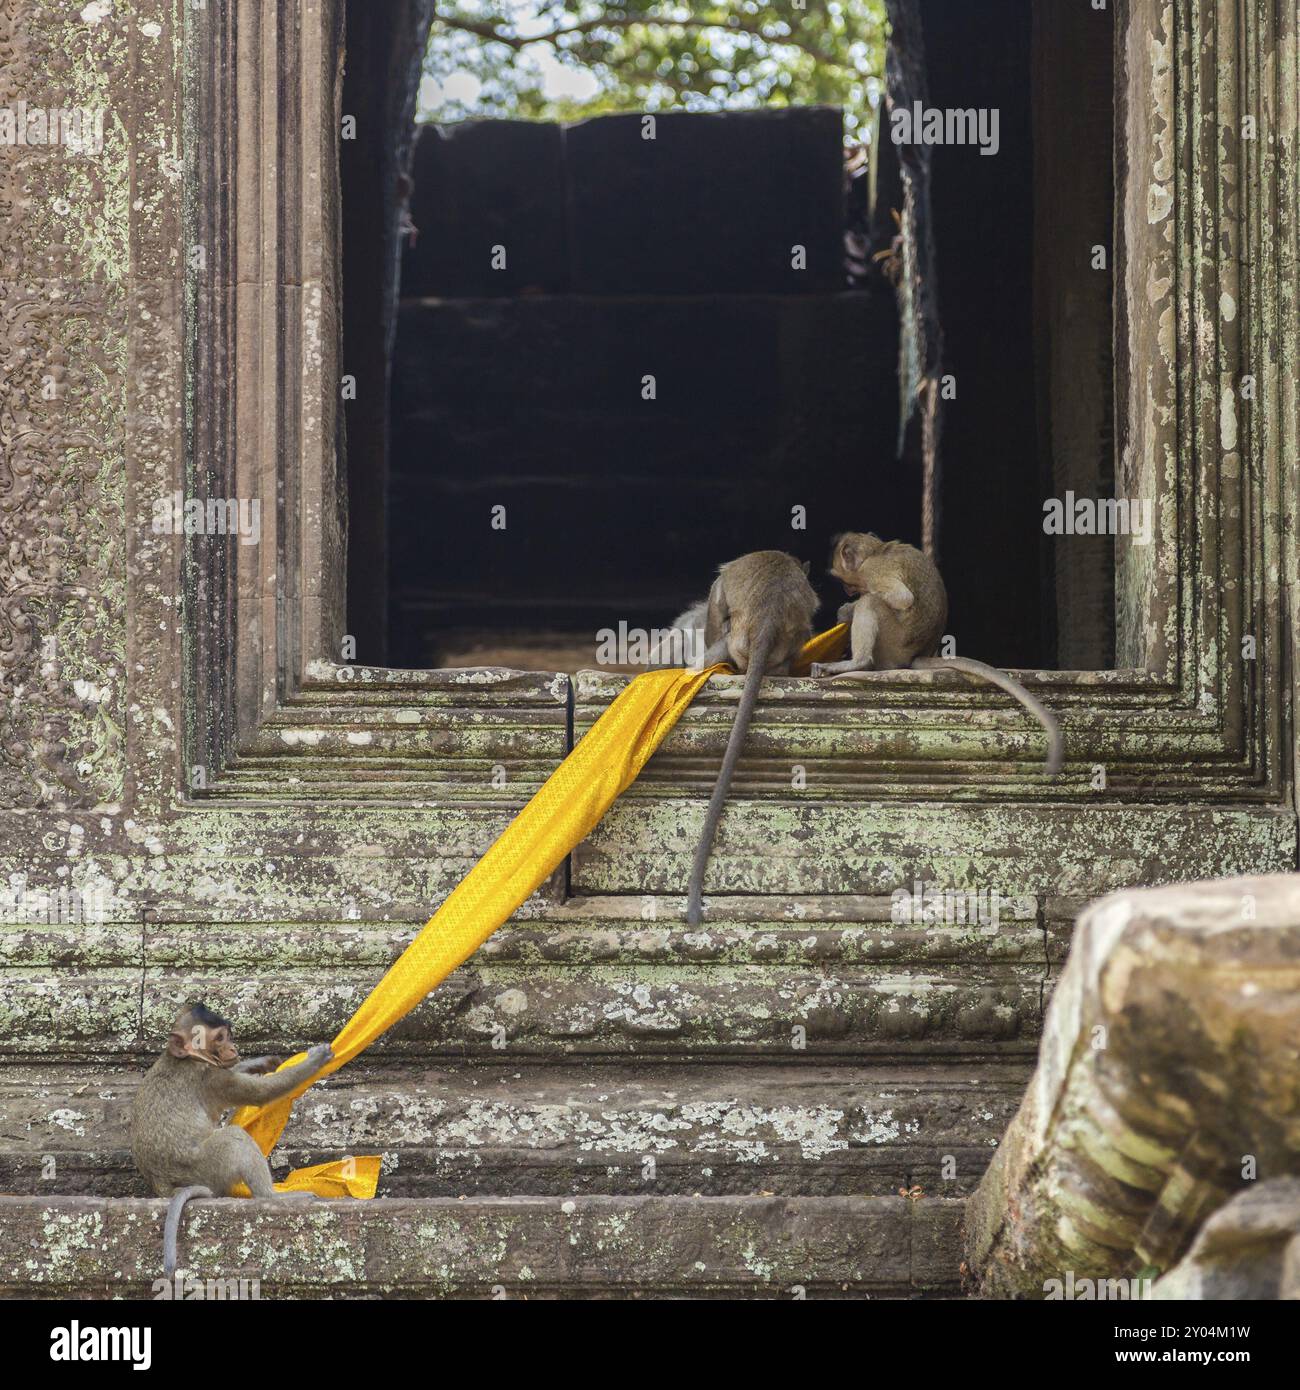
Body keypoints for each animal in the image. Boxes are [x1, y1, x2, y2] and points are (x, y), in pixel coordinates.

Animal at [130, 1003, 334, 1276]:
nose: (233, 1049)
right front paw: (316, 1060)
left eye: (228, 1035)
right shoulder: (211, 1079)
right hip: (208, 1169)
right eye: (219, 1038)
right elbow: (261, 1094)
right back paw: (273, 1197)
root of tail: (163, 1188)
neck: (188, 1058)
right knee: (234, 1137)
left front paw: (259, 1062)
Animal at [811, 533, 1063, 775]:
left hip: (891, 644)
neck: (877, 551)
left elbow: (901, 599)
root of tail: (916, 654)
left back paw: (857, 662)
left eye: (844, 579)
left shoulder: (872, 571)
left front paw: (847, 611)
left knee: (871, 602)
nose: (846, 590)